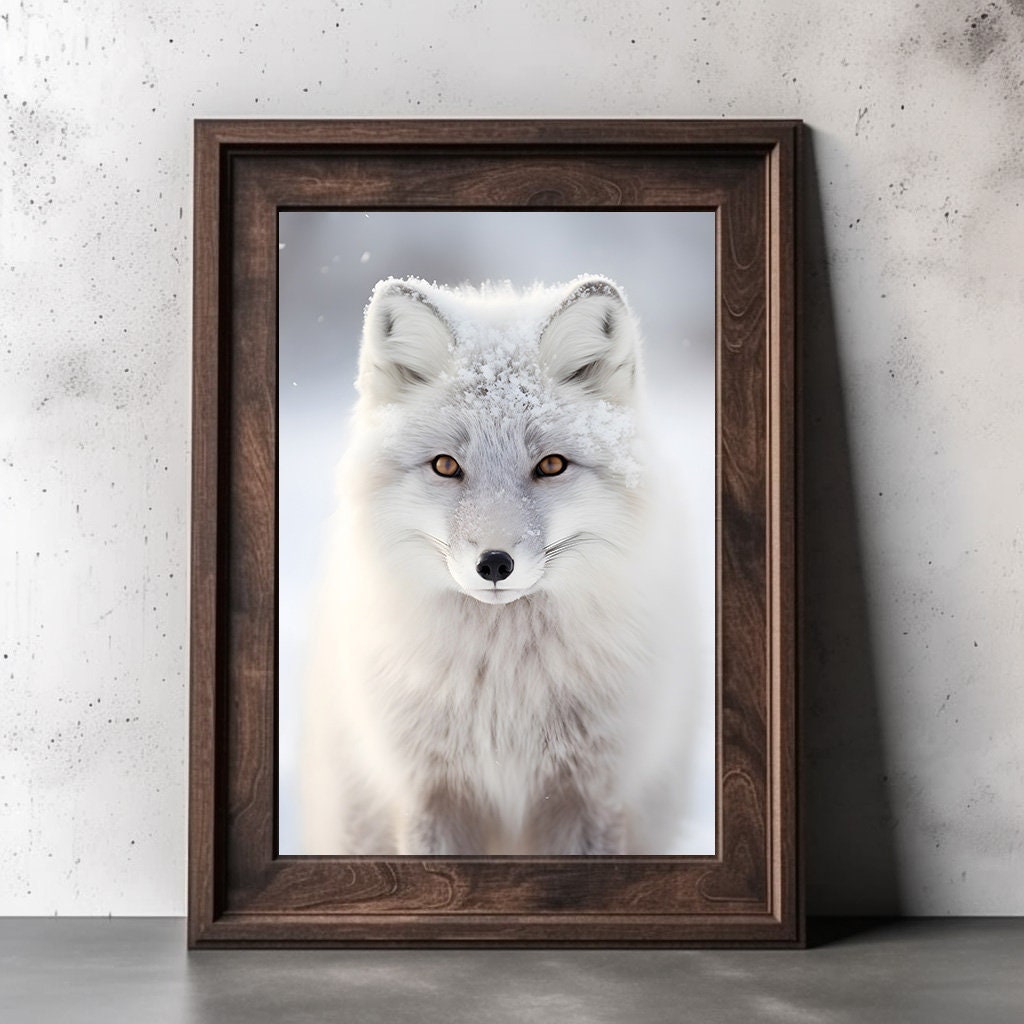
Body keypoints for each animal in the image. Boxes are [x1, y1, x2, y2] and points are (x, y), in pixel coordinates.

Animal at [301, 274, 703, 855]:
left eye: (551, 465)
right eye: (446, 466)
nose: (494, 564)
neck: (504, 693)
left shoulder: (590, 793)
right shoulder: (430, 793)